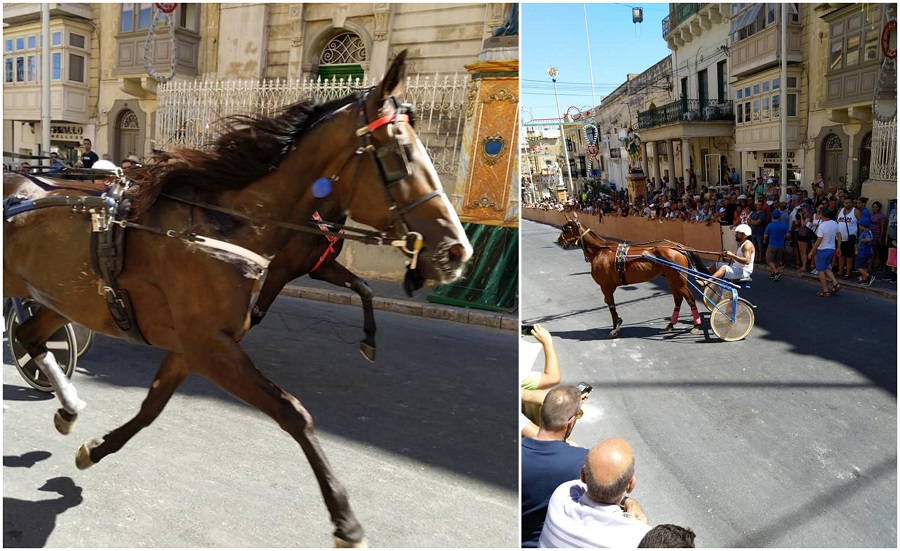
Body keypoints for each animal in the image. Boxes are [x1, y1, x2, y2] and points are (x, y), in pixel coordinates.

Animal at [3, 51, 472, 547]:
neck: (220, 227)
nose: (457, 250)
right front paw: (344, 516)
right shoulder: (213, 348)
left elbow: (151, 408)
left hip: (59, 298)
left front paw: (95, 448)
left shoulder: (194, 347)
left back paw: (68, 405)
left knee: (29, 336)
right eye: (399, 153)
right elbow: (294, 413)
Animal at [557, 216, 707, 338]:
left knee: (690, 299)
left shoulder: (605, 286)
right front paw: (618, 322)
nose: (559, 241)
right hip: (671, 279)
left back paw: (696, 325)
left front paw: (615, 328)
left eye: (565, 229)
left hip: (679, 280)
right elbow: (610, 304)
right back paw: (671, 324)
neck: (600, 251)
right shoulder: (609, 287)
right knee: (678, 300)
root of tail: (678, 247)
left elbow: (611, 306)